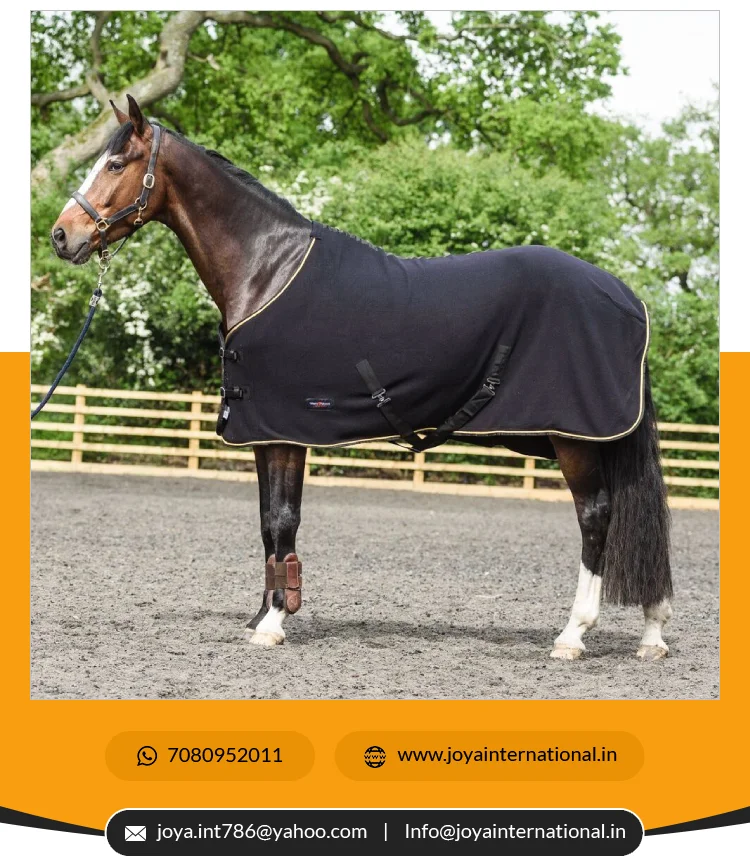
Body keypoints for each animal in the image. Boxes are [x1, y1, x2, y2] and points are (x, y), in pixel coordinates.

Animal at [49, 95, 673, 661]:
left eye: (115, 164)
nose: (61, 236)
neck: (266, 269)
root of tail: (627, 296)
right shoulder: (265, 431)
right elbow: (267, 525)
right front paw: (265, 611)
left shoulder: (284, 430)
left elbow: (283, 521)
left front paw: (273, 624)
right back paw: (652, 634)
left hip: (575, 439)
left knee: (596, 517)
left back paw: (573, 634)